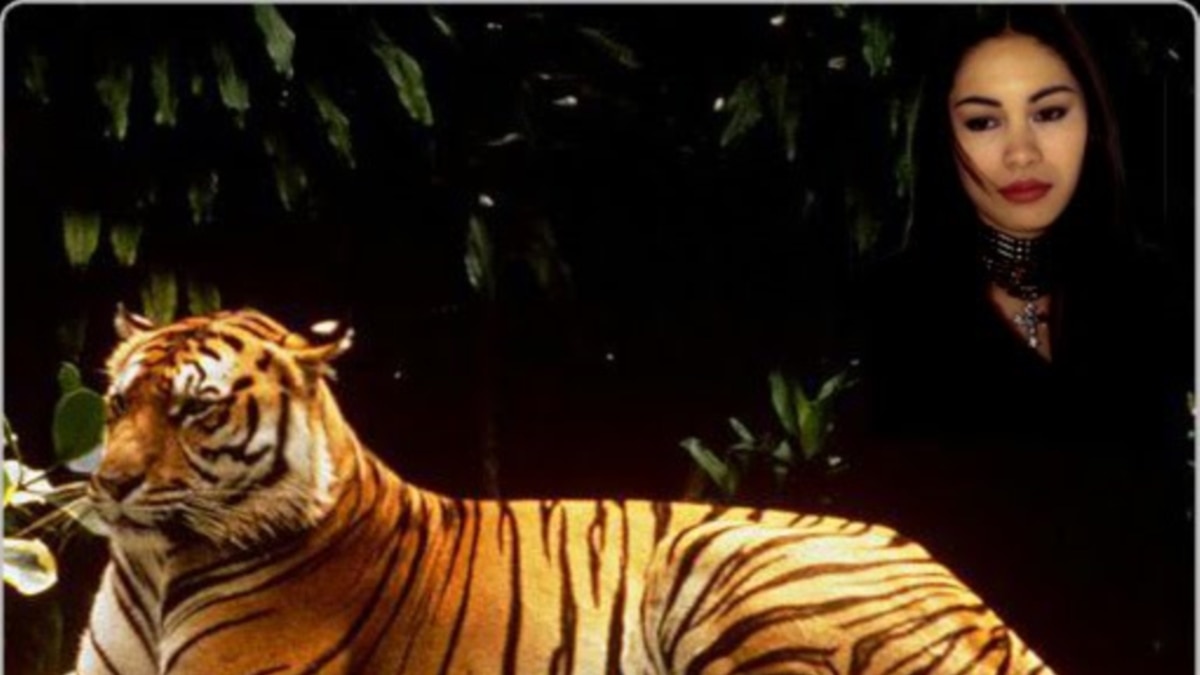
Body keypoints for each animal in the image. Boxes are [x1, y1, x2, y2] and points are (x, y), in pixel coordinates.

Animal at [76, 306, 1054, 675]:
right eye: (118, 402)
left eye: (196, 410)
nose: (113, 483)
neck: (156, 570)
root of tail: (981, 605)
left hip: (729, 568)